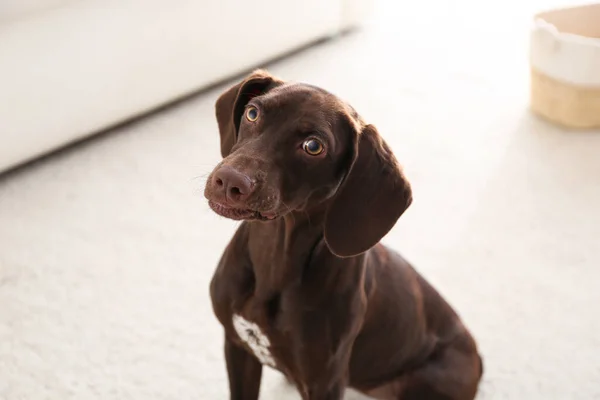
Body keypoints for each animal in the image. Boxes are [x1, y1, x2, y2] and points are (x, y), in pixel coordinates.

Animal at [205, 70, 482, 398]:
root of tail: (478, 357)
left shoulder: (325, 382)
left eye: (313, 146)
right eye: (252, 113)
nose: (229, 181)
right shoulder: (238, 347)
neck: (273, 256)